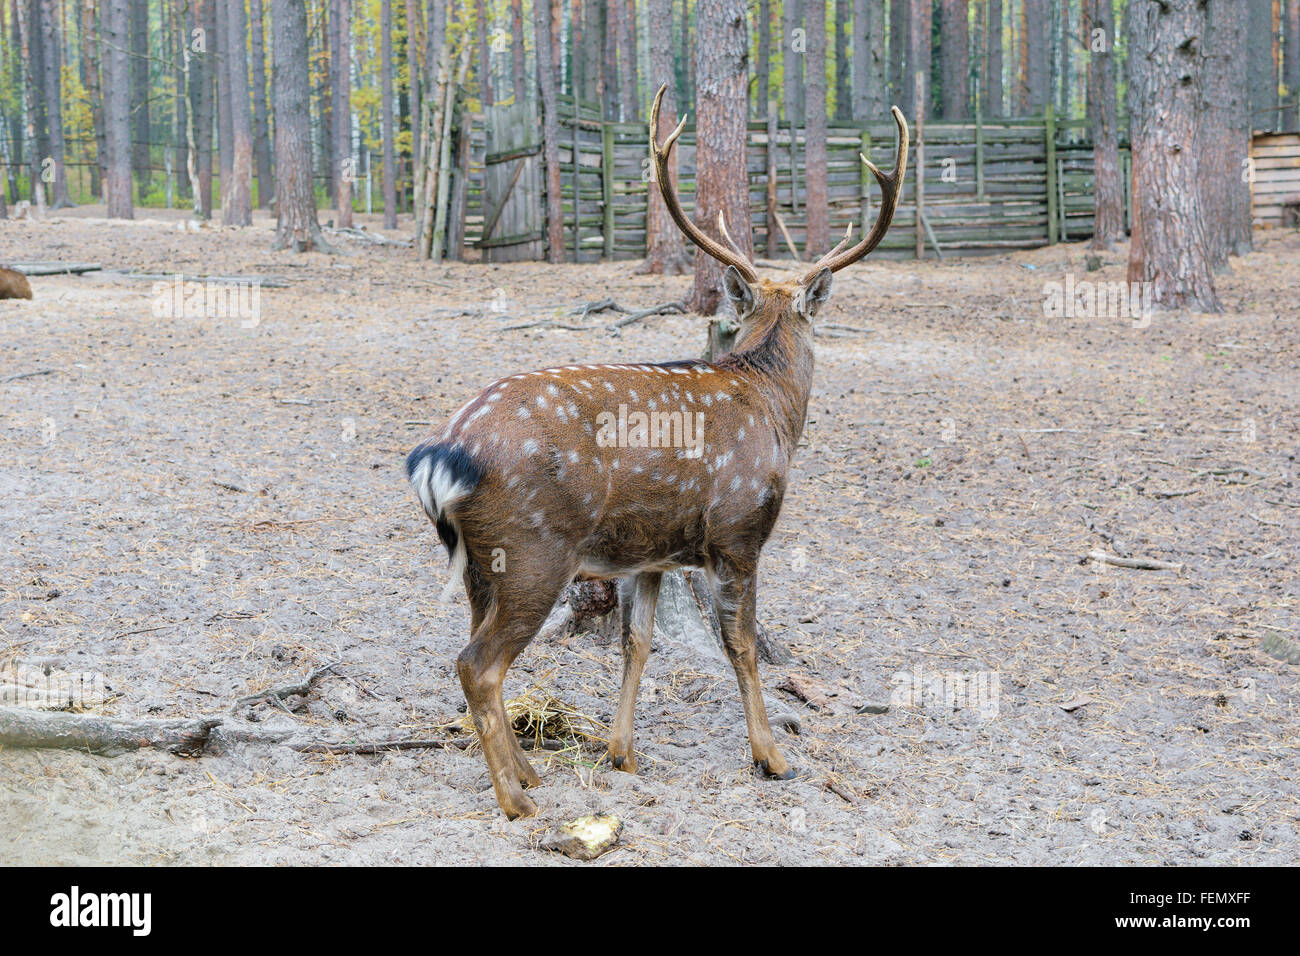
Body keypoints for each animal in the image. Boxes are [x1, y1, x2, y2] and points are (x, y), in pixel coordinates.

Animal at [407, 85, 908, 819]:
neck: (775, 408)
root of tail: (442, 457)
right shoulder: (738, 531)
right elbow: (740, 644)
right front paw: (773, 757)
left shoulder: (649, 553)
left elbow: (637, 643)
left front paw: (623, 753)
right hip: (534, 548)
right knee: (477, 663)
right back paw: (518, 800)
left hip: (479, 560)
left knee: (474, 648)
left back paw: (528, 772)